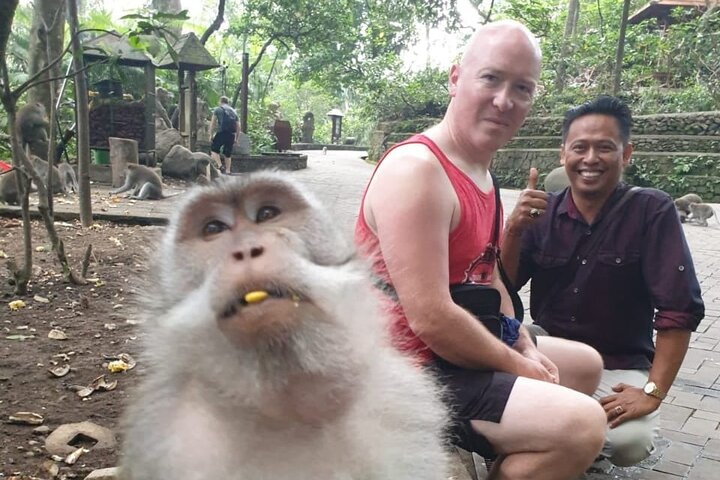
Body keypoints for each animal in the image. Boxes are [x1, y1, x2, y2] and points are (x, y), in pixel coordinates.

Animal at [119, 173, 450, 480]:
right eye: (213, 229)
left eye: (266, 214)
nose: (247, 249)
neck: (292, 406)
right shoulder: (167, 441)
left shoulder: (400, 403)